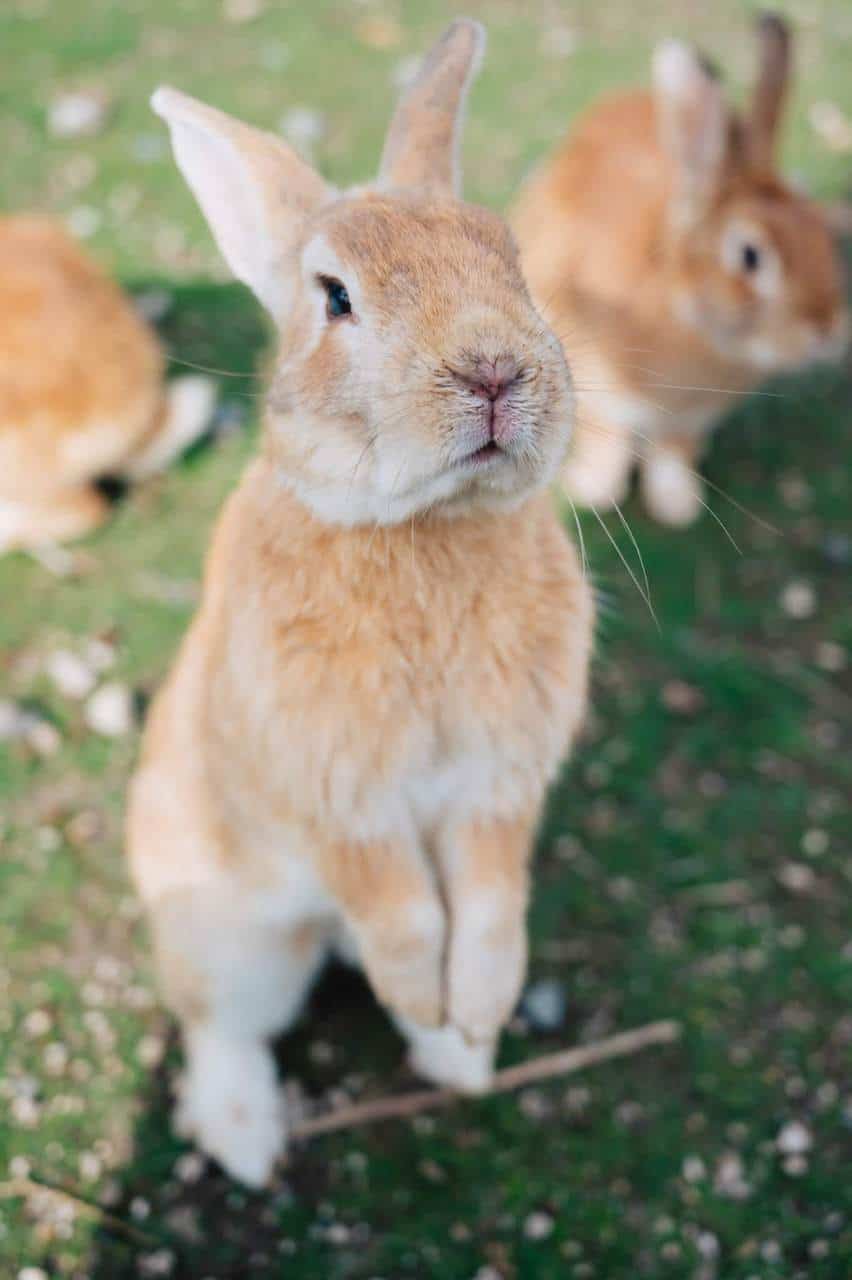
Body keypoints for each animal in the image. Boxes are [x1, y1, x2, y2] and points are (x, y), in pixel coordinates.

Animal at [126, 19, 594, 1187]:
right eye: (335, 296)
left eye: (510, 258)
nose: (492, 369)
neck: (422, 527)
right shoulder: (341, 795)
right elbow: (398, 909)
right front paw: (430, 999)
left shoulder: (495, 785)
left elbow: (488, 905)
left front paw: (475, 1010)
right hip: (231, 933)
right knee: (222, 1021)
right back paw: (248, 1139)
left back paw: (460, 1057)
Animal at [511, 13, 849, 527]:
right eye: (750, 255)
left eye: (822, 232)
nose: (827, 328)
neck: (679, 307)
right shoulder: (597, 383)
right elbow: (608, 439)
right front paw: (594, 493)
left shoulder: (689, 416)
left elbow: (672, 451)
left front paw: (676, 506)